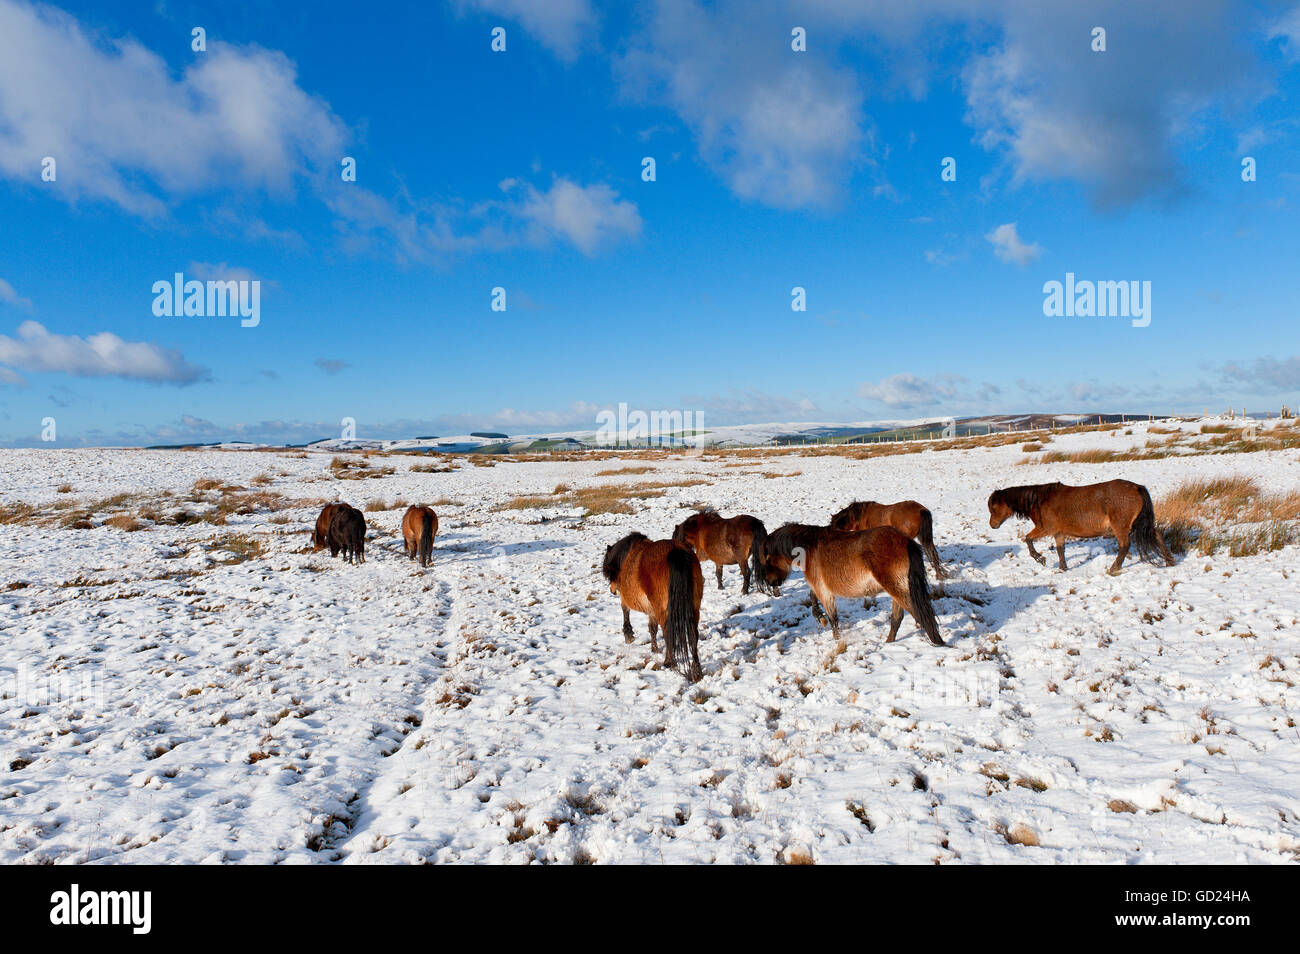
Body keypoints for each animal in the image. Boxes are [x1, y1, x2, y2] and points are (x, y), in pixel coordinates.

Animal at [602, 532, 705, 681]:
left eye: (610, 573)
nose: (612, 590)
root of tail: (676, 550)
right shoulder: (652, 610)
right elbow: (652, 628)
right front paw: (654, 649)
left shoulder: (626, 598)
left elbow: (625, 611)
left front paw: (628, 634)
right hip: (694, 607)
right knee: (693, 634)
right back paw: (696, 669)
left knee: (668, 632)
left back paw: (669, 662)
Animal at [759, 523, 944, 646]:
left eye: (767, 558)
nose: (770, 582)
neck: (809, 547)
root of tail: (906, 541)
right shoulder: (821, 587)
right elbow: (812, 599)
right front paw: (820, 618)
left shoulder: (822, 589)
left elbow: (832, 617)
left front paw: (836, 639)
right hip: (897, 590)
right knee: (897, 618)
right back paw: (888, 643)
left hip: (897, 588)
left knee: (919, 614)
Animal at [987, 479, 1174, 575]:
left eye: (994, 507)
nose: (992, 525)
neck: (1040, 501)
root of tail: (1137, 487)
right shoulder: (1058, 532)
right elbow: (1060, 550)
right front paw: (1063, 568)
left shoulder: (1045, 529)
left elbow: (1027, 539)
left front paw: (1039, 558)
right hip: (1138, 523)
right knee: (1156, 534)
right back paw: (1169, 561)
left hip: (1121, 526)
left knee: (1124, 546)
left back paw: (1114, 568)